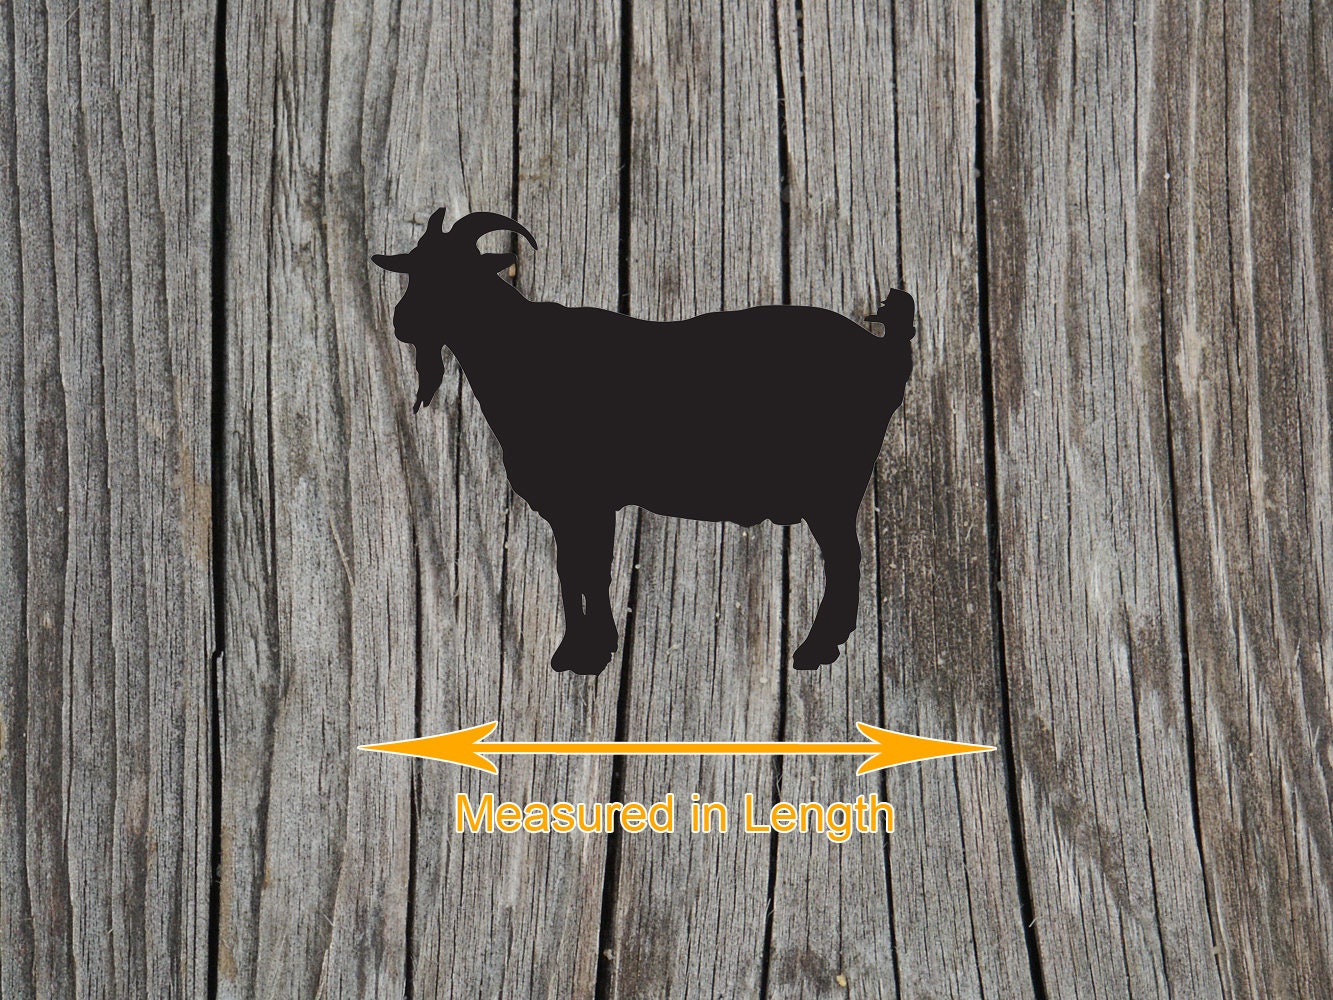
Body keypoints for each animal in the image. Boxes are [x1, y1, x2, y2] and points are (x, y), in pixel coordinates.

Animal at [373, 209, 914, 674]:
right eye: (413, 269)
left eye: (459, 274)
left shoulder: (588, 500)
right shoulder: (570, 506)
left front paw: (589, 654)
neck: (526, 355)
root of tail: (885, 353)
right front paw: (580, 650)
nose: (402, 323)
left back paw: (815, 650)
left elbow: (590, 570)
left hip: (833, 486)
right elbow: (572, 570)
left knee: (845, 561)